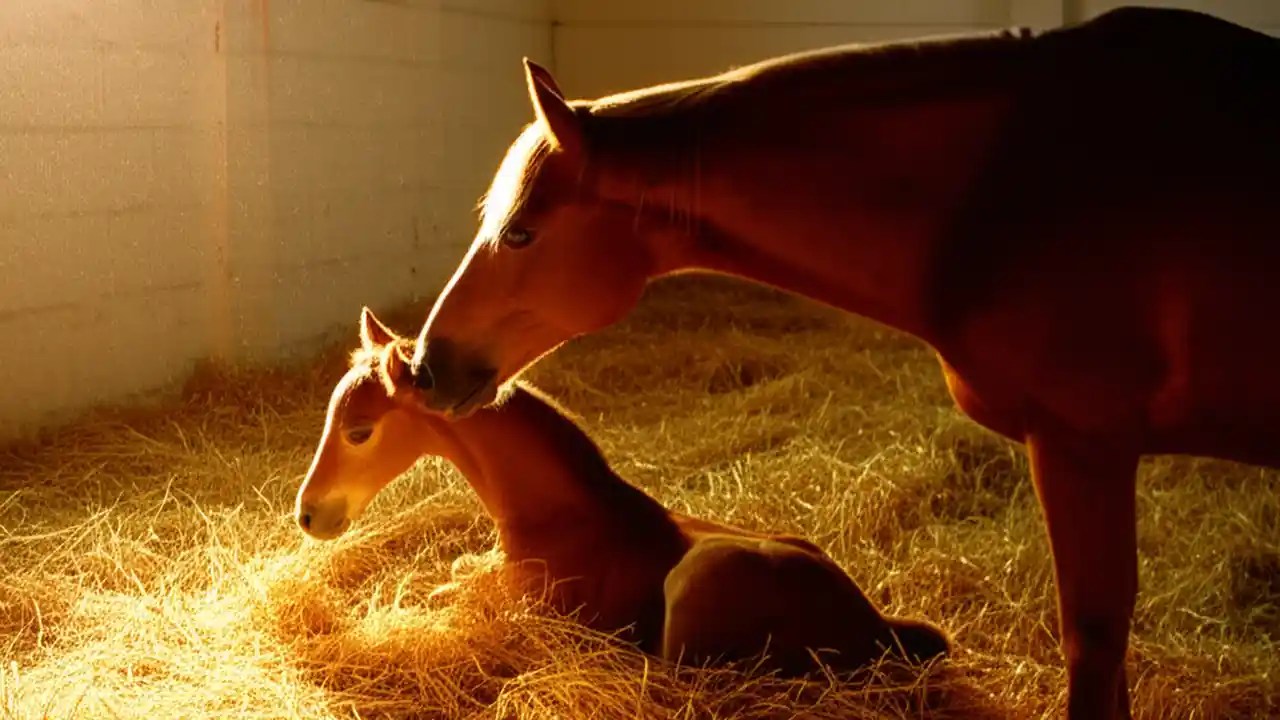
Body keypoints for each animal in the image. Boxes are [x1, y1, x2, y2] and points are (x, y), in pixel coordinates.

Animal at [293, 308, 951, 677]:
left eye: (359, 431)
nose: (307, 515)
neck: (561, 517)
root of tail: (878, 628)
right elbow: (448, 574)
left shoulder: (530, 608)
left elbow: (445, 592)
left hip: (695, 587)